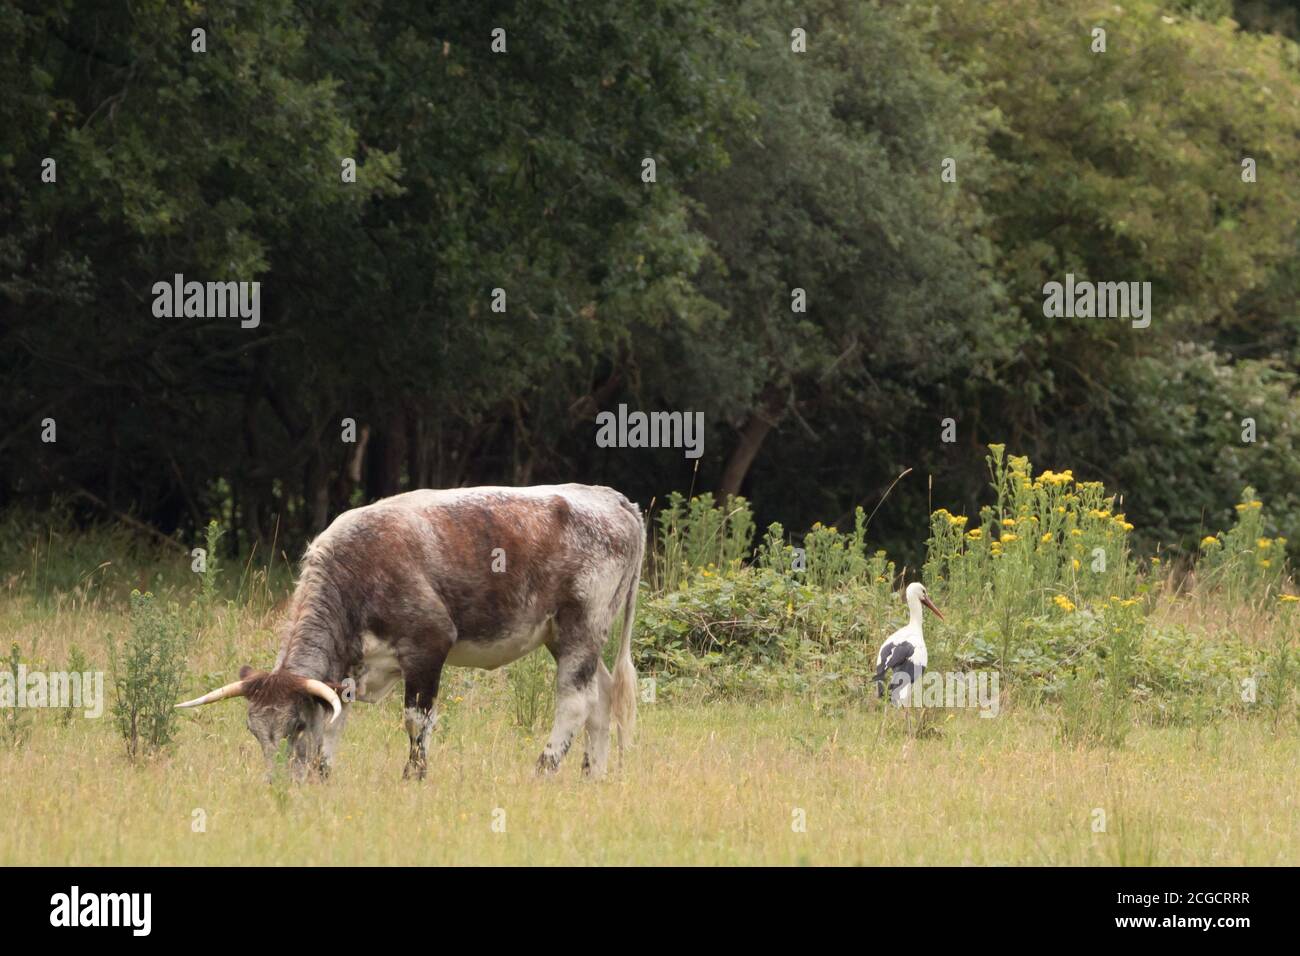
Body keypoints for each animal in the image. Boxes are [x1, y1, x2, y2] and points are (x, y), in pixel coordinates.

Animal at [176, 484, 644, 781]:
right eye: (254, 732)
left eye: (294, 727)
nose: (276, 785)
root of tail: (609, 496)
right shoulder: (349, 669)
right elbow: (337, 721)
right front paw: (323, 774)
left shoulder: (428, 645)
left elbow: (416, 720)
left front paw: (413, 774)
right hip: (568, 635)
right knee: (602, 695)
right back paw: (592, 775)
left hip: (581, 625)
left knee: (576, 700)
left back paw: (543, 770)